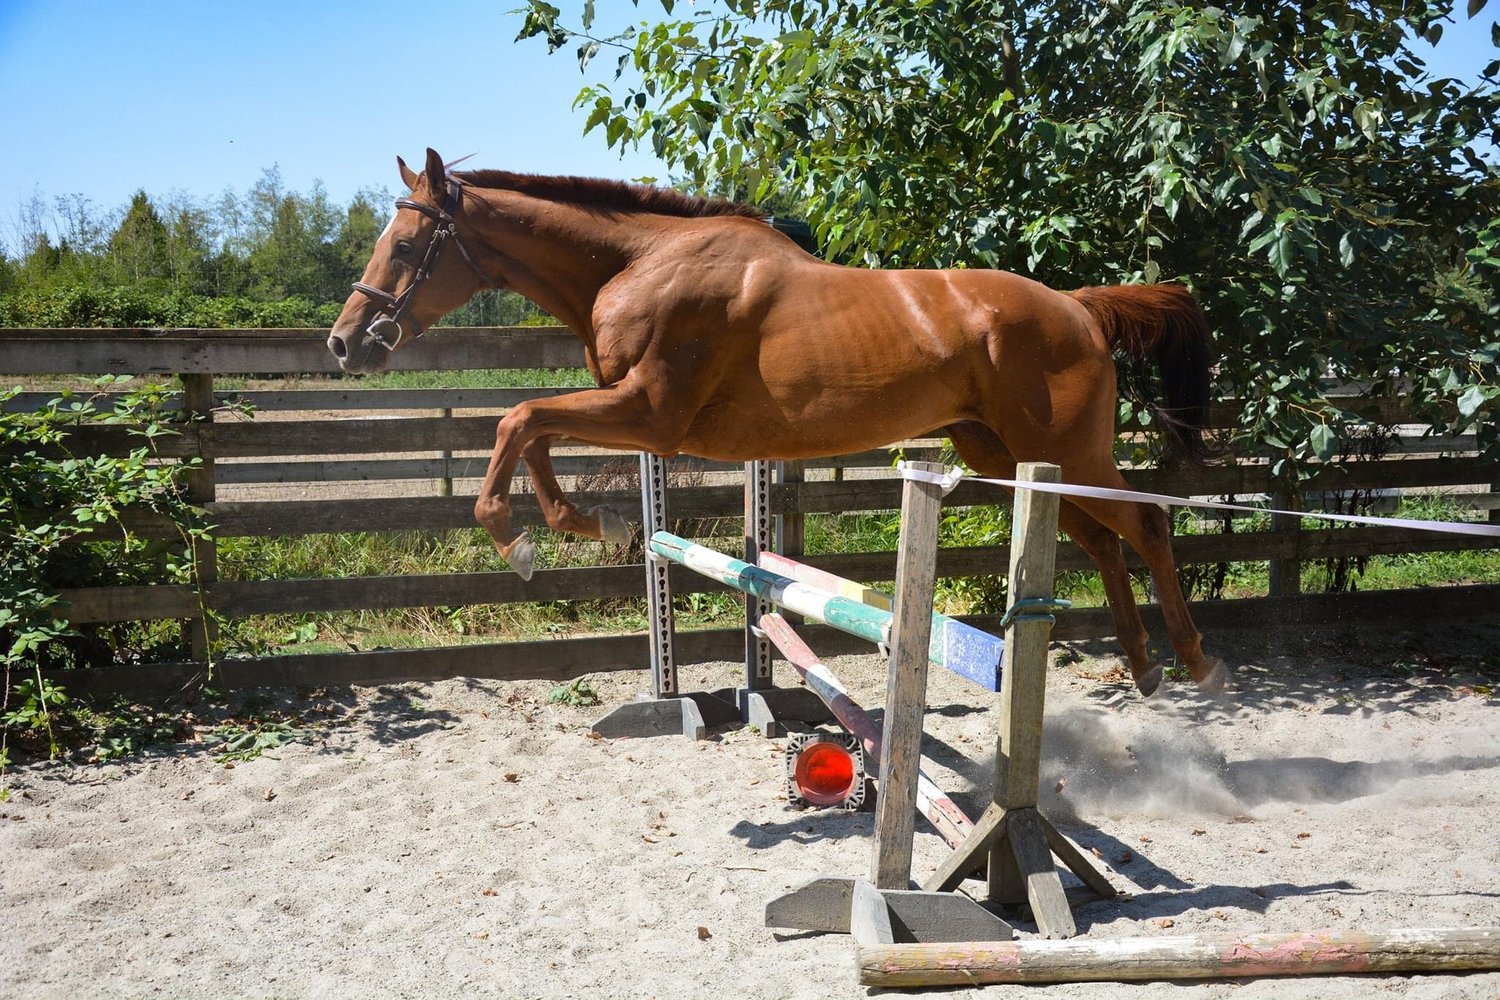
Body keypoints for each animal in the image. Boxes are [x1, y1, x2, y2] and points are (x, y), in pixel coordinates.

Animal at [327, 148, 1226, 696]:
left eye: (404, 245)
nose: (345, 342)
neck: (640, 264)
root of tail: (1078, 308)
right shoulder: (634, 415)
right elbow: (534, 431)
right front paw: (590, 523)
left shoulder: (651, 414)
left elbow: (517, 419)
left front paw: (520, 541)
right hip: (1001, 451)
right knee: (1101, 539)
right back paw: (1143, 667)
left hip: (1060, 447)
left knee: (1146, 528)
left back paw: (1192, 661)